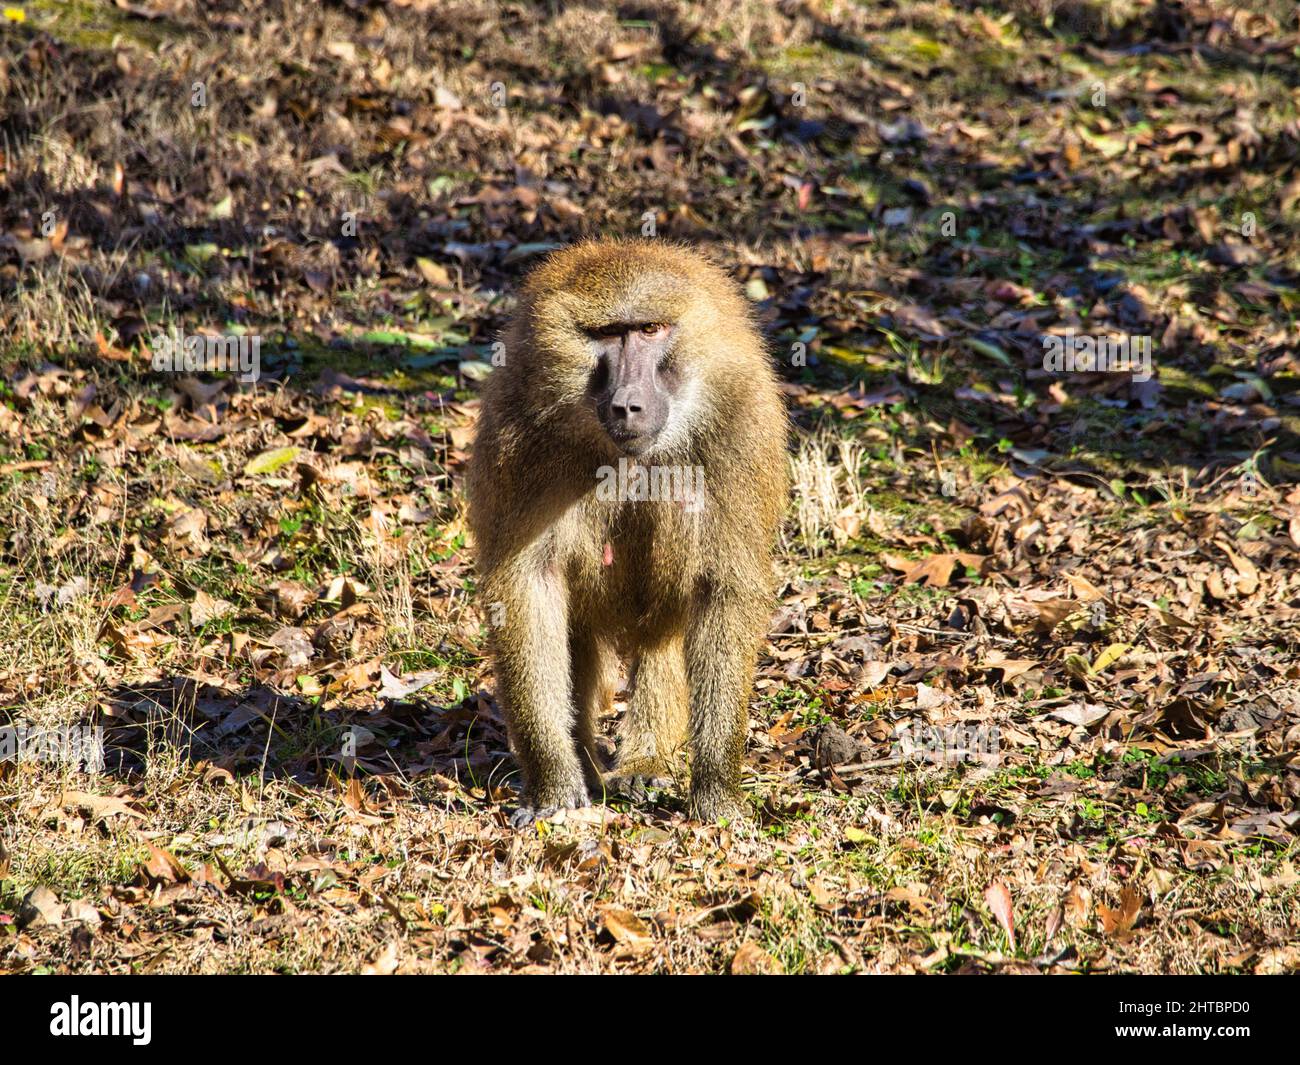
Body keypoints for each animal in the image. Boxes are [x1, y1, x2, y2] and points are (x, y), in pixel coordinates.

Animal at [466, 239, 788, 827]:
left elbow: (724, 589)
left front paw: (716, 791)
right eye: (607, 334)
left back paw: (645, 762)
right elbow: (527, 585)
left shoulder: (737, 426)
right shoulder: (516, 436)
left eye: (650, 329)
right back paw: (590, 766)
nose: (627, 403)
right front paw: (554, 784)